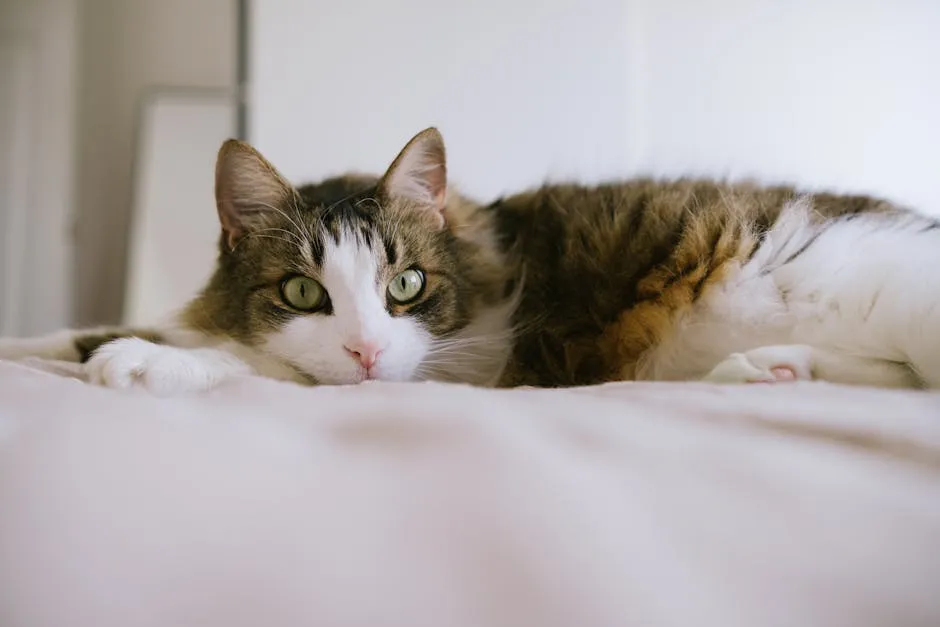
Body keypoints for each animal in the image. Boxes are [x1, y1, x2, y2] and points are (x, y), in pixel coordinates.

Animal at [0, 125, 936, 394]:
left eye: (407, 285)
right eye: (302, 290)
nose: (366, 349)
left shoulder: (465, 365)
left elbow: (264, 368)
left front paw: (143, 360)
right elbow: (81, 331)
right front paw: (36, 347)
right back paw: (771, 370)